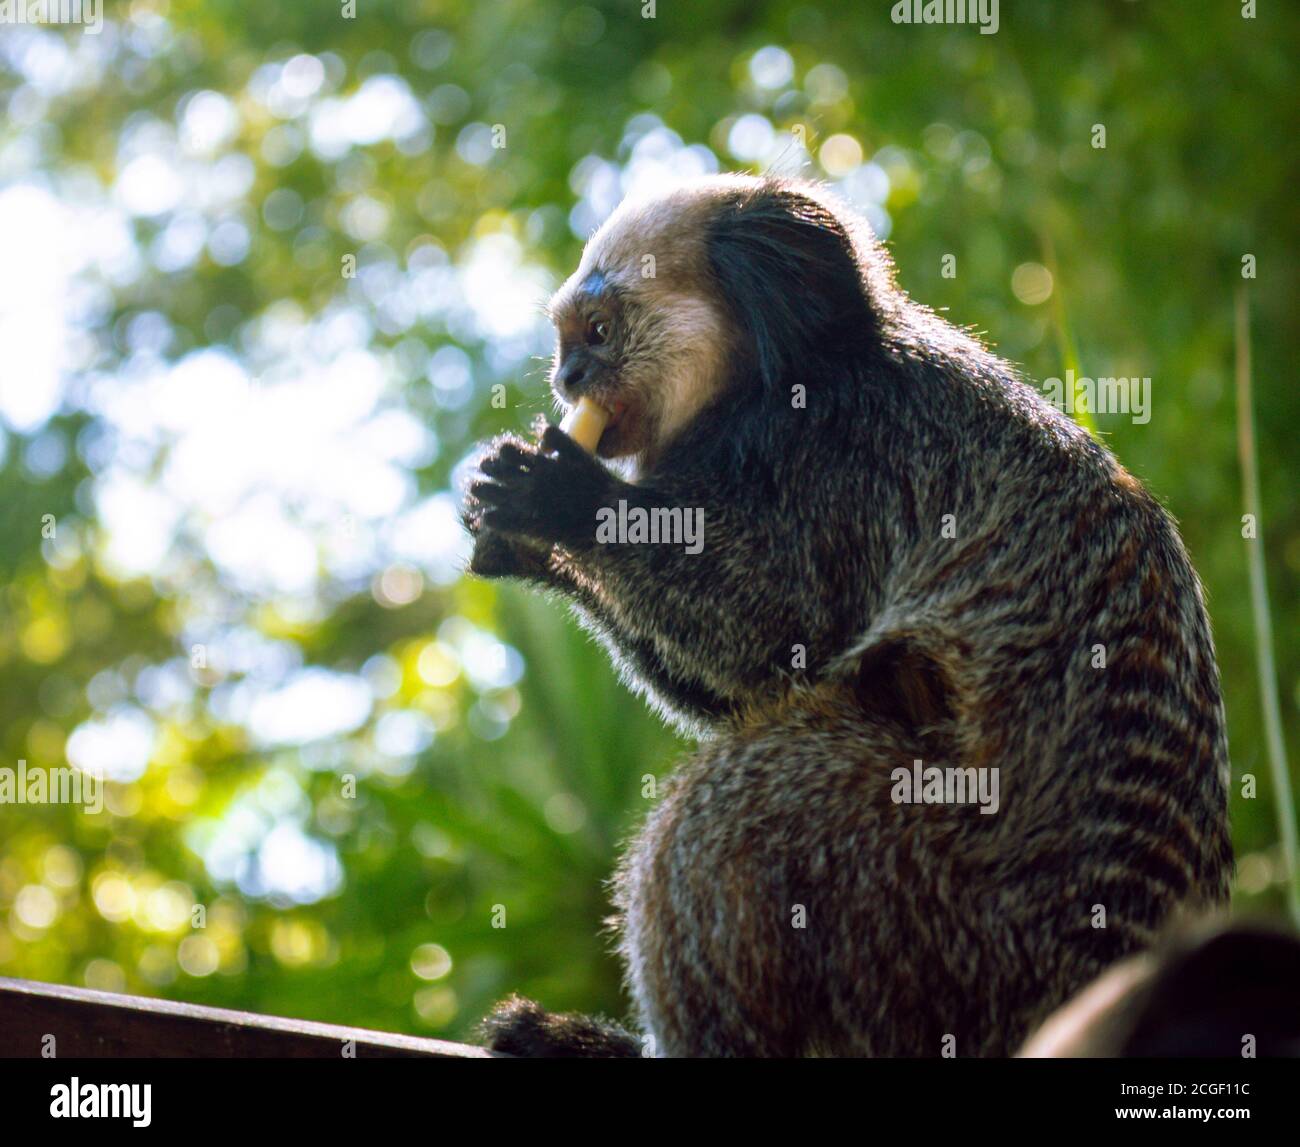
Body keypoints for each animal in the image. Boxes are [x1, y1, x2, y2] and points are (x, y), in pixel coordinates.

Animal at [461, 173, 1233, 1057]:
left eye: (597, 331)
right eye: (565, 344)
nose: (569, 377)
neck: (776, 384)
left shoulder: (849, 451)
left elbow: (777, 624)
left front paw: (560, 502)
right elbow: (740, 684)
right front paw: (517, 541)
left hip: (946, 932)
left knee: (734, 808)